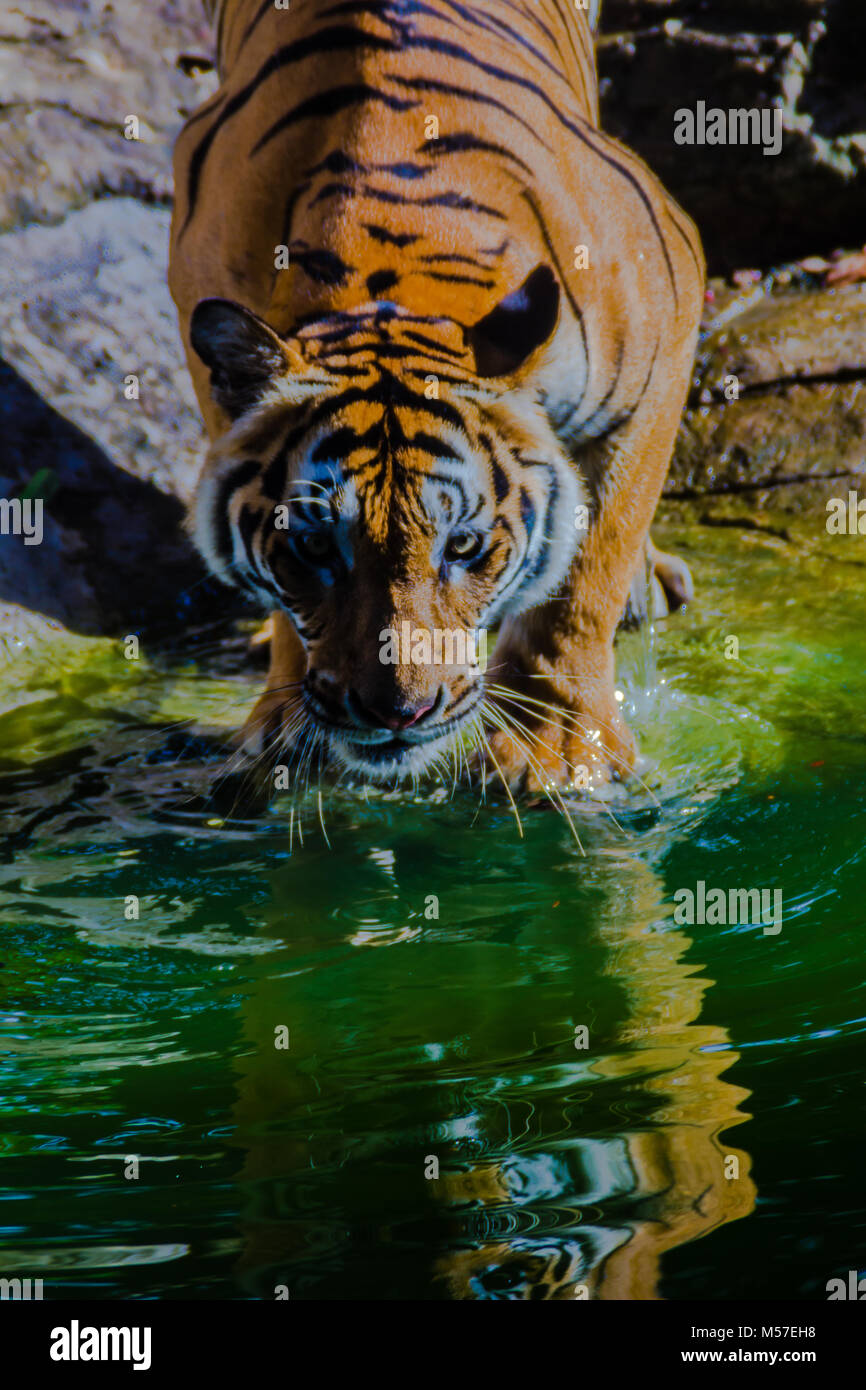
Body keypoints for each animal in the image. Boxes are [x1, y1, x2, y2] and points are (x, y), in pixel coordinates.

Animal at [169, 0, 704, 794]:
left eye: (466, 546)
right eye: (312, 546)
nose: (398, 714)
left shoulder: (666, 324)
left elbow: (588, 568)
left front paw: (554, 751)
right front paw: (282, 730)